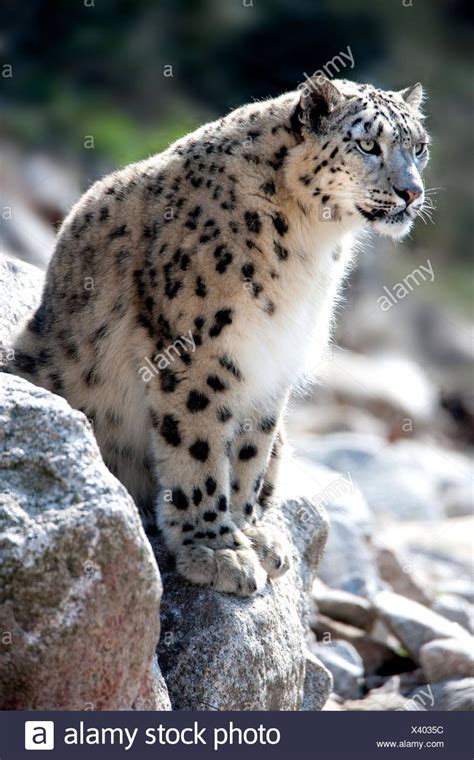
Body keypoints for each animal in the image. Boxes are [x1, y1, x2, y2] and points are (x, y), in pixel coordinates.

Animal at [6, 76, 430, 596]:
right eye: (368, 144)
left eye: (419, 147)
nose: (411, 192)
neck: (309, 247)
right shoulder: (197, 353)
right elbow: (200, 450)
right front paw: (217, 552)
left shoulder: (272, 359)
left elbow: (251, 450)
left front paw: (250, 533)